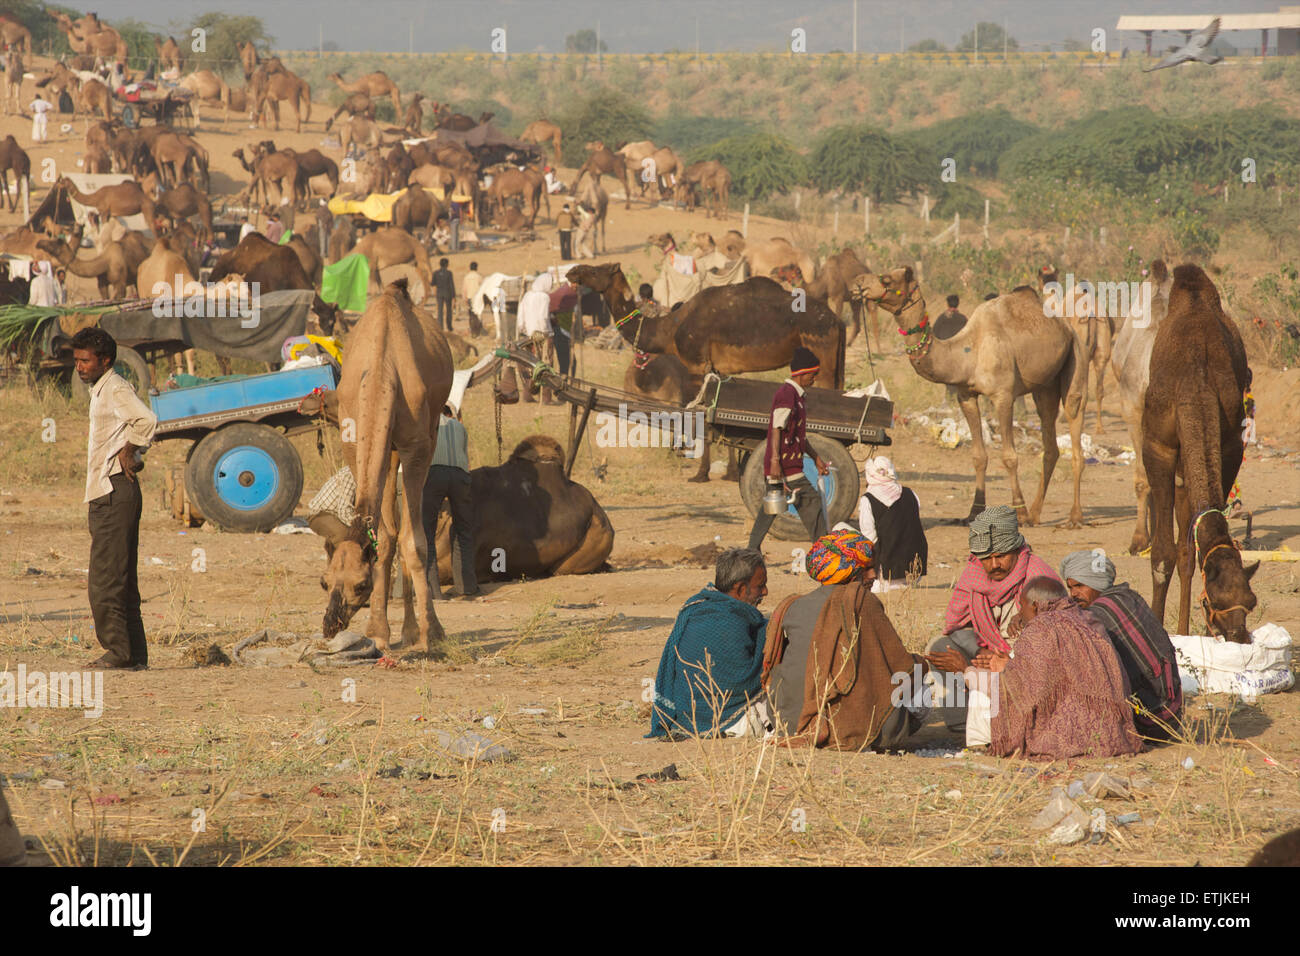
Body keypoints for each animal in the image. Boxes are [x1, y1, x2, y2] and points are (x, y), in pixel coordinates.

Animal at [322, 279, 453, 655]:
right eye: (324, 582)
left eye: (361, 585)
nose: (330, 625)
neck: (382, 371)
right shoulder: (353, 443)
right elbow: (382, 539)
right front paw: (378, 631)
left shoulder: (418, 447)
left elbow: (415, 542)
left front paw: (432, 633)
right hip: (387, 449)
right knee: (392, 529)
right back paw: (404, 629)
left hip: (423, 434)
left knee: (406, 530)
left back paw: (413, 631)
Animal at [568, 262, 846, 389]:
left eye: (596, 270)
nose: (572, 271)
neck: (670, 328)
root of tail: (836, 320)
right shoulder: (717, 369)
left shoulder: (696, 365)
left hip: (822, 356)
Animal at [857, 266, 1088, 526]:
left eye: (887, 279)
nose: (859, 282)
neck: (967, 353)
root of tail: (1066, 327)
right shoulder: (966, 395)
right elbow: (978, 456)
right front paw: (974, 512)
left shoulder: (1002, 396)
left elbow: (1009, 457)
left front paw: (1019, 511)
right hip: (1044, 385)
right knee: (1050, 440)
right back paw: (1036, 514)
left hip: (1077, 354)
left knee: (1075, 417)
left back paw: (1073, 517)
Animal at [1143, 264, 1258, 644]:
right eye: (1214, 599)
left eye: (1251, 601)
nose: (1237, 634)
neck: (1196, 377)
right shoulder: (1158, 448)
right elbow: (1162, 555)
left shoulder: (1231, 445)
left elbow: (1187, 552)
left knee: (1186, 551)